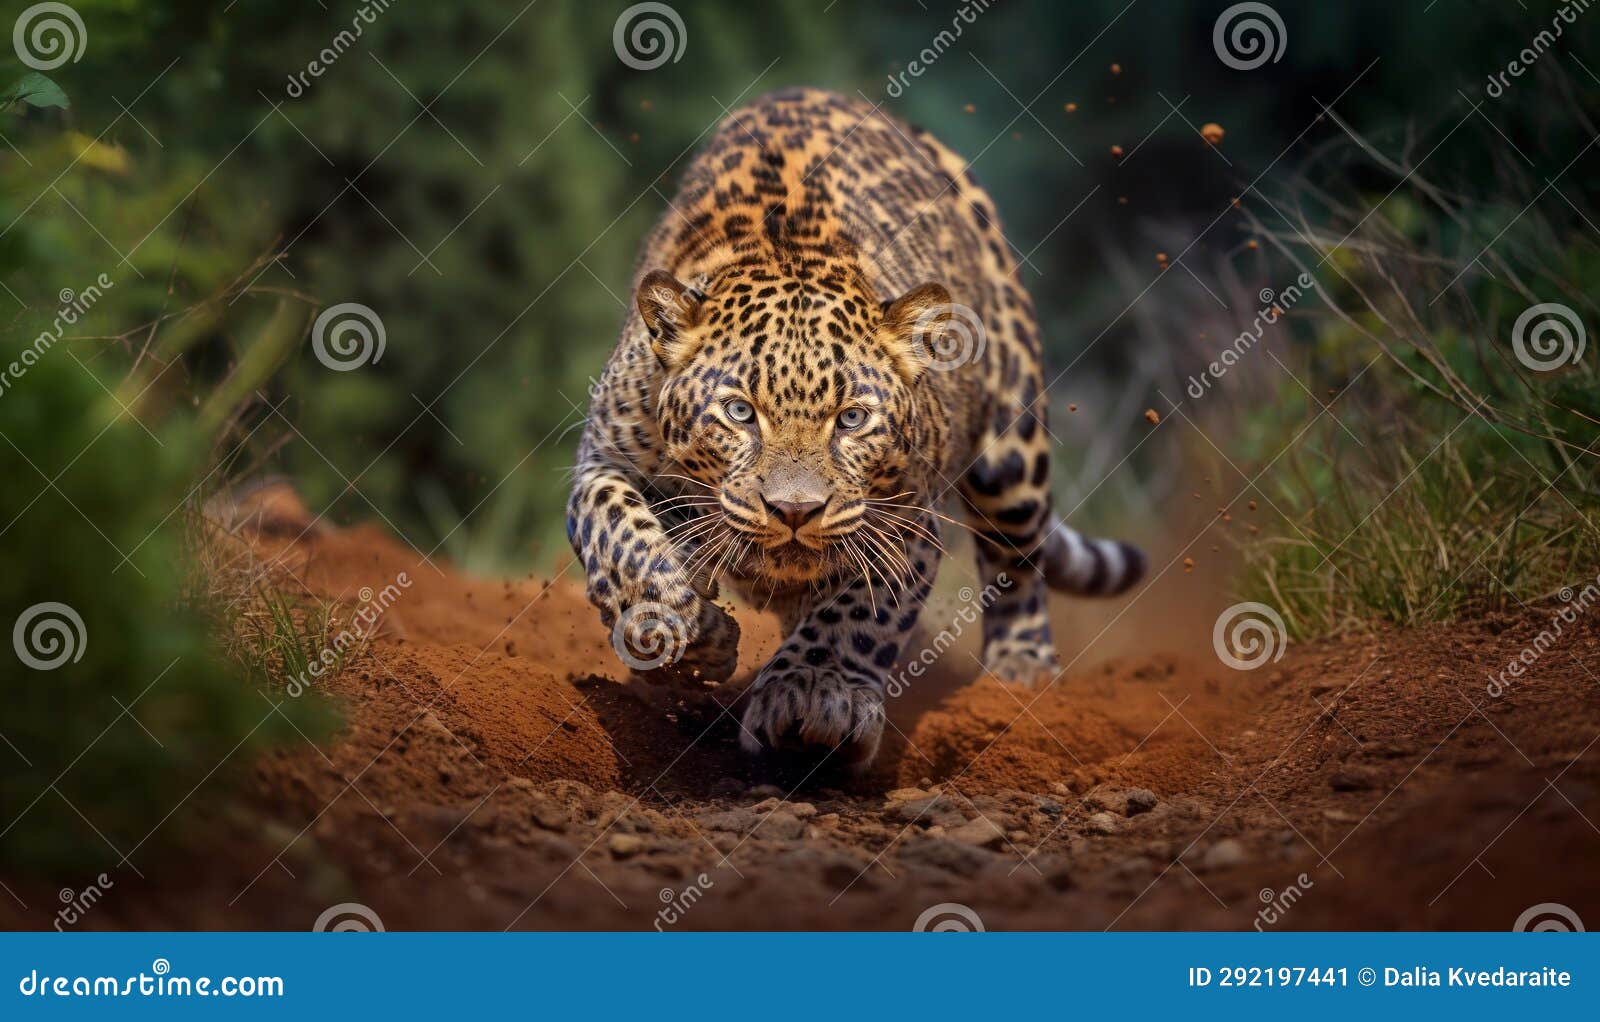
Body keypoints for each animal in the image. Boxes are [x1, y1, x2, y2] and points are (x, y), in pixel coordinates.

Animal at [568, 88, 1144, 770]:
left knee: (1018, 562)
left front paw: (816, 696)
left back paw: (1018, 677)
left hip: (1013, 444)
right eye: (740, 413)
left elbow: (855, 619)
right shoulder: (603, 459)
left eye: (852, 419)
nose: (795, 511)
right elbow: (617, 534)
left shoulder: (907, 524)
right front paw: (679, 631)